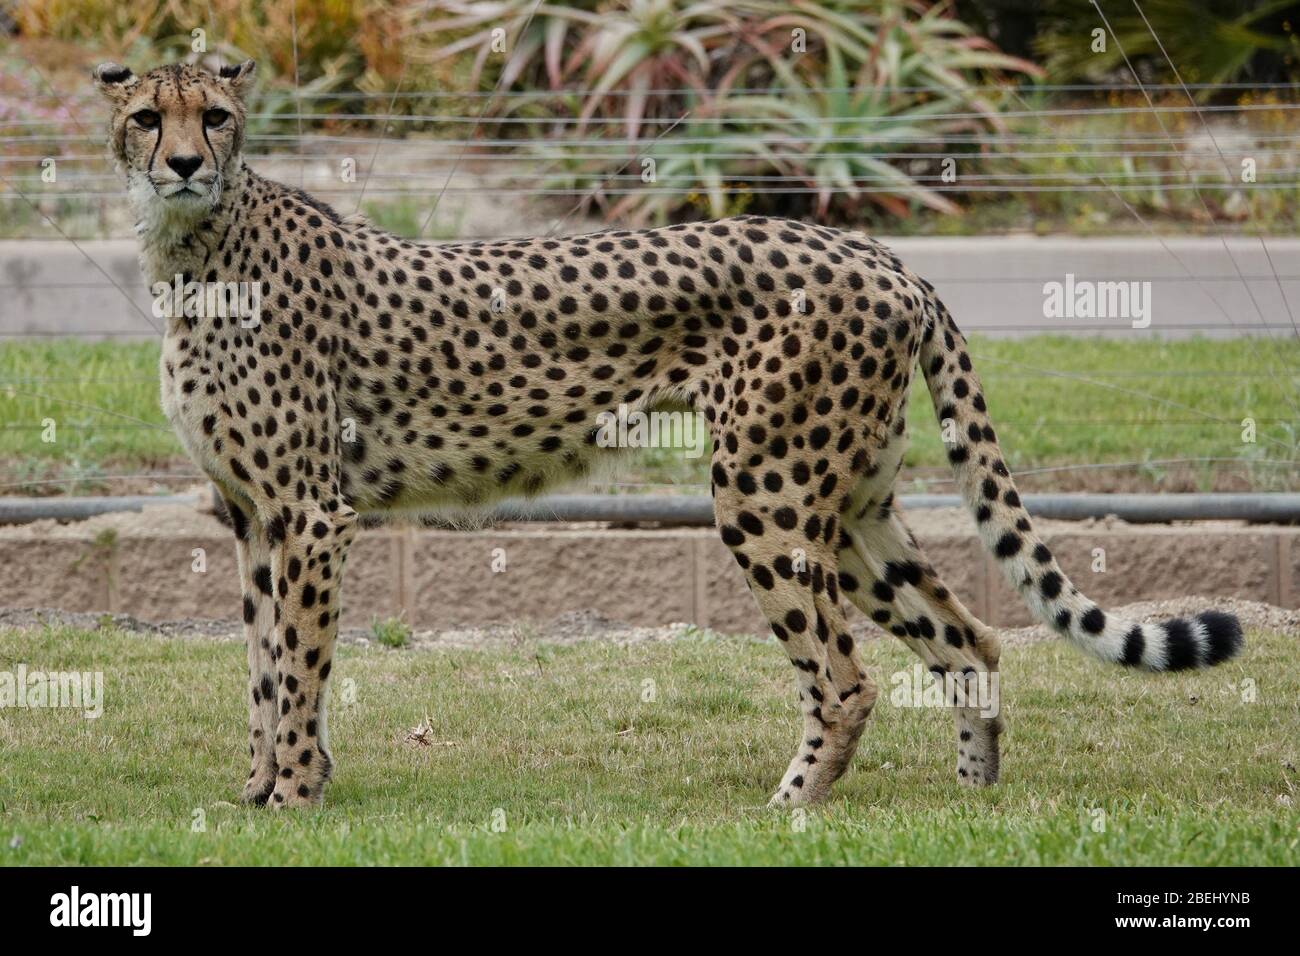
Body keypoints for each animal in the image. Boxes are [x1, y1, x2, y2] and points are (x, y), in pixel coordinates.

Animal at [96, 60, 1244, 809]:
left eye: (219, 115)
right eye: (148, 115)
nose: (186, 162)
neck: (195, 243)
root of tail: (879, 252)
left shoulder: (308, 512)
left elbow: (297, 666)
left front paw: (295, 796)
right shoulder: (252, 515)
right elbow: (262, 665)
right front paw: (258, 789)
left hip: (763, 491)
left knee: (845, 675)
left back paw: (788, 807)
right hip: (852, 503)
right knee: (969, 637)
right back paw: (974, 800)